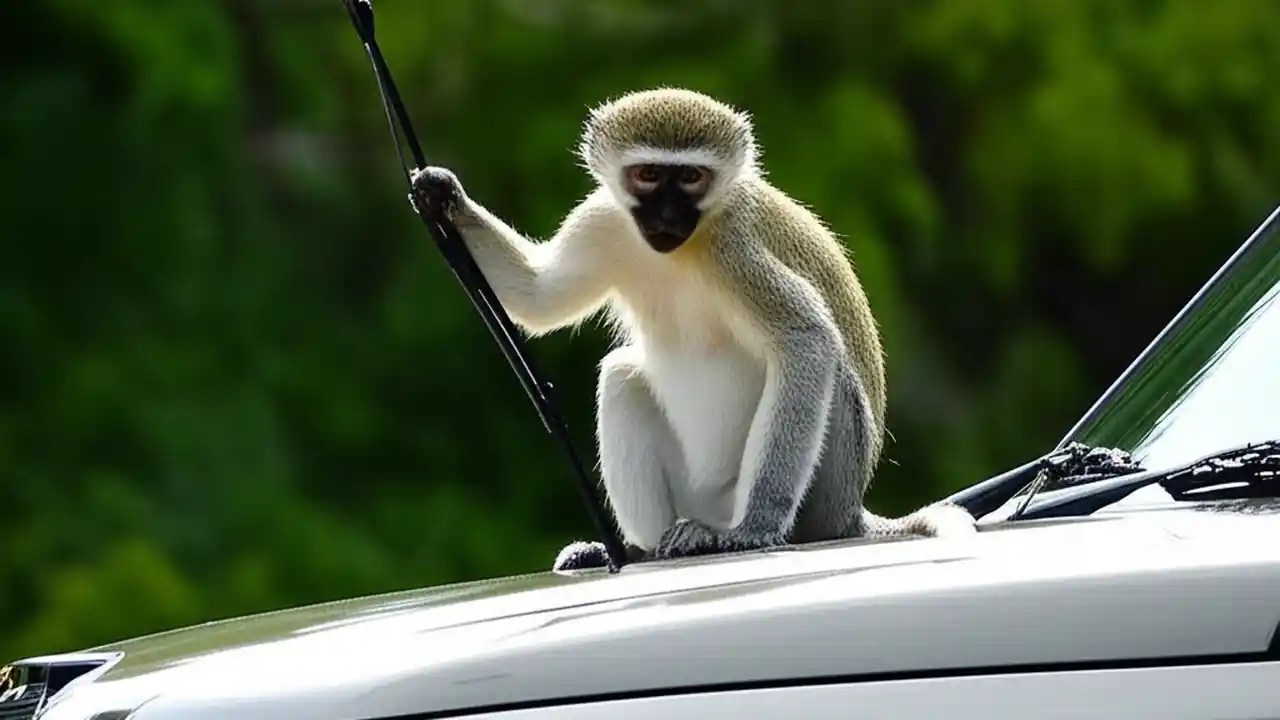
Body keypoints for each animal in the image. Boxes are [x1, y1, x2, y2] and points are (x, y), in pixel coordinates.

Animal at [408, 87, 976, 572]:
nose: (665, 216)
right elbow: (537, 297)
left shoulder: (735, 245)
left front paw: (756, 526)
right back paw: (638, 549)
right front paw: (445, 197)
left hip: (824, 486)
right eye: (646, 175)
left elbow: (806, 338)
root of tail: (852, 512)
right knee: (622, 377)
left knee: (826, 371)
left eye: (690, 179)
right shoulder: (603, 219)